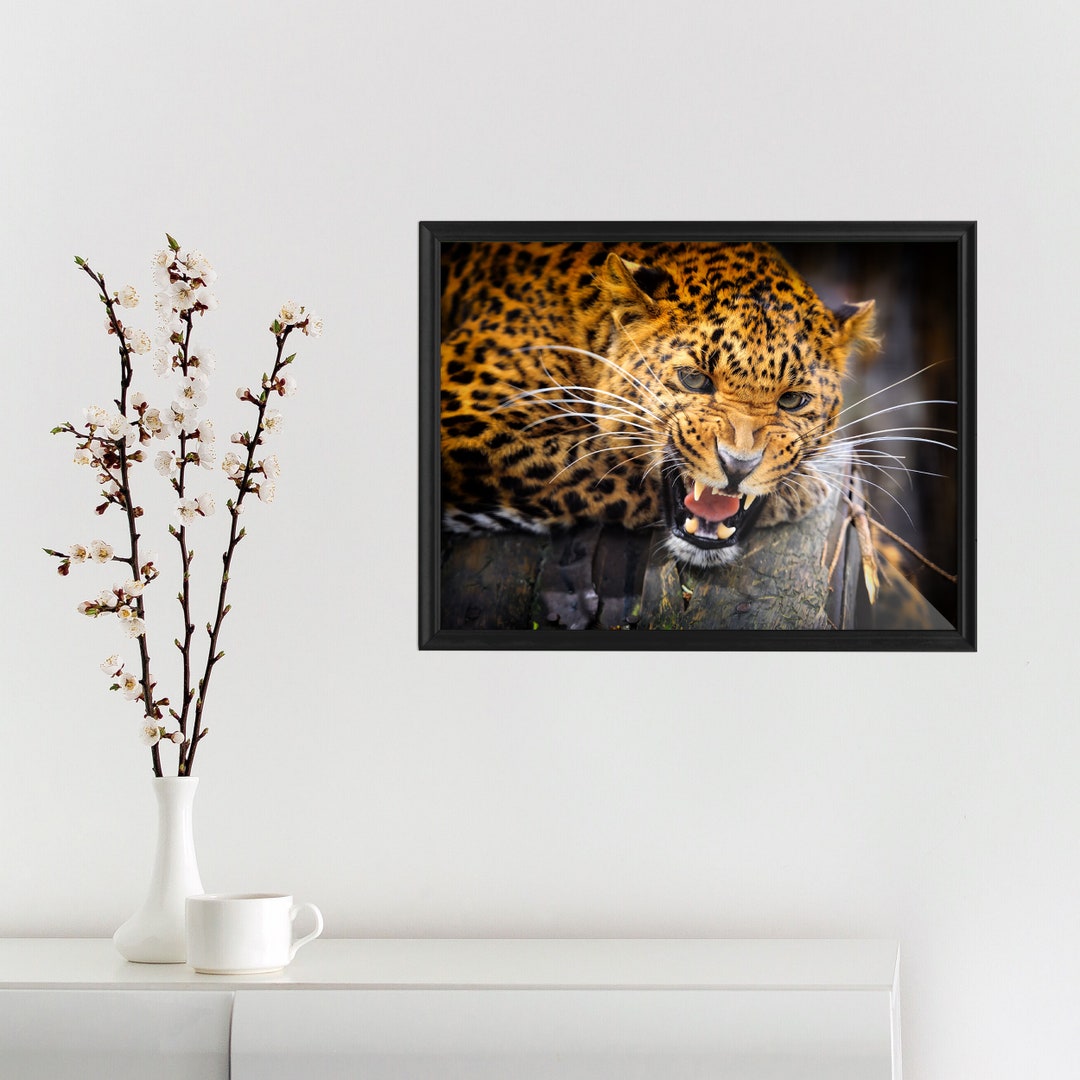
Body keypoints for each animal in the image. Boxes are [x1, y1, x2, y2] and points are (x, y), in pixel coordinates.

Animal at [440, 241, 880, 568]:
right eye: (695, 379)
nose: (739, 467)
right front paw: (802, 491)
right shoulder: (467, 418)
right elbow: (593, 461)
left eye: (792, 400)